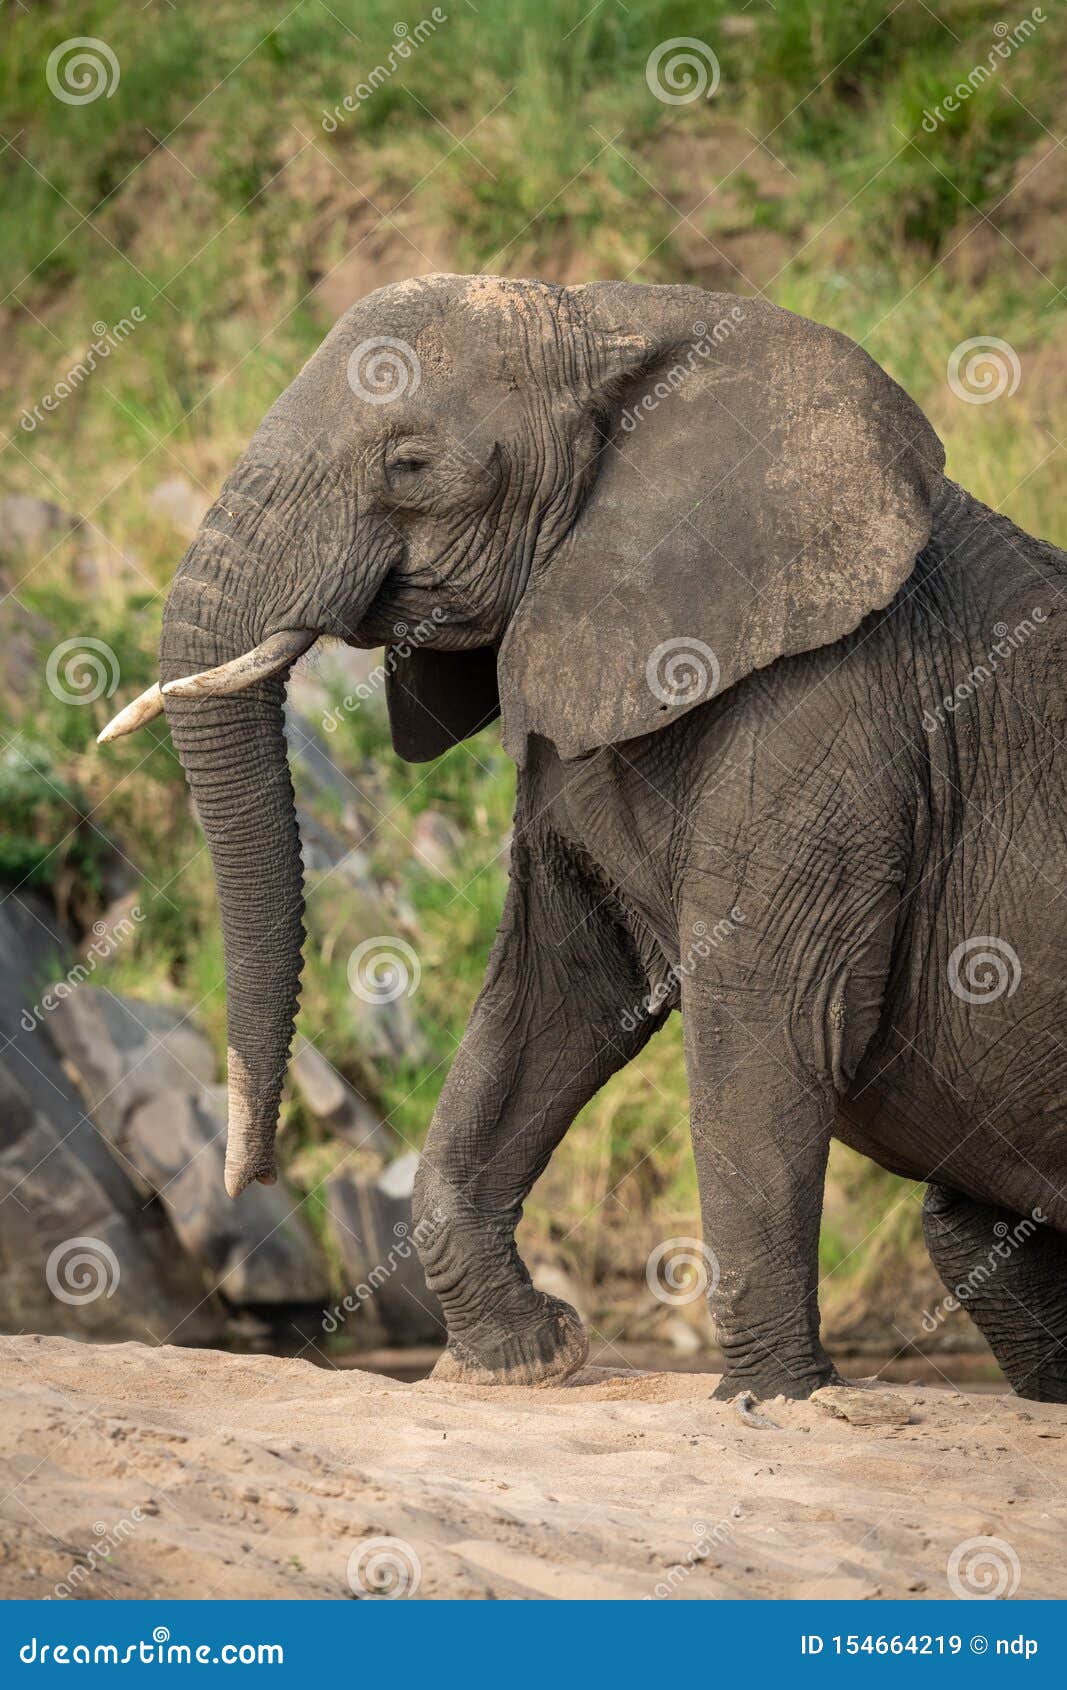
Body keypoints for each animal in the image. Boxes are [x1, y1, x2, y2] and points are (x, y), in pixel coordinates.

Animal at [100, 273, 1067, 1403]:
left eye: (409, 464)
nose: (246, 1177)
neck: (616, 316)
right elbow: (557, 988)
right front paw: (527, 1358)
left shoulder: (835, 707)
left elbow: (770, 1015)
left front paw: (768, 1398)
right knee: (963, 1230)